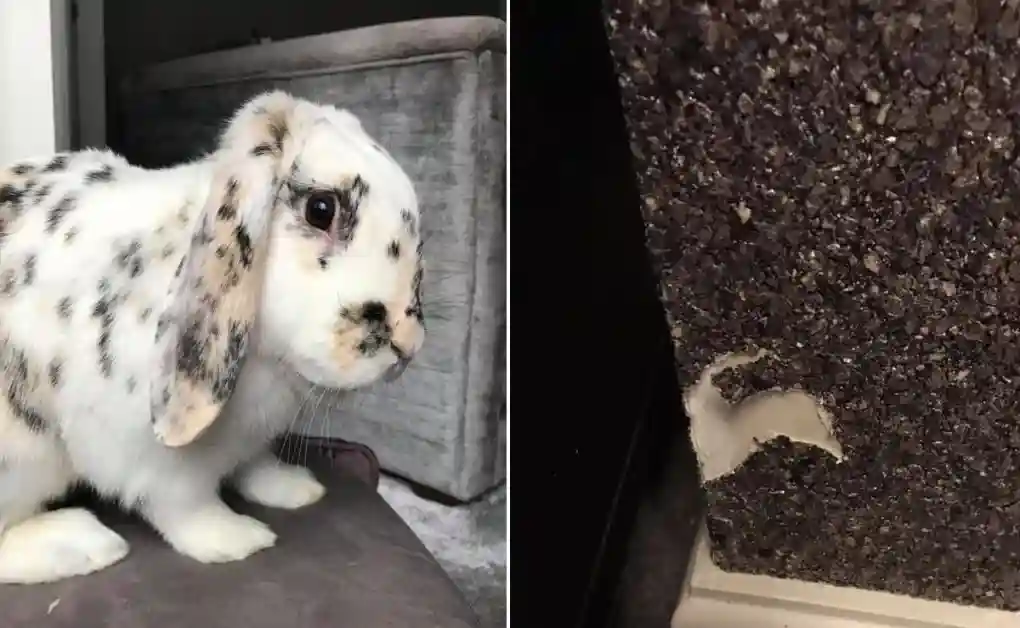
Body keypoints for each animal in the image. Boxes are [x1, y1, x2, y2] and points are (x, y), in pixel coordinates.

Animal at [0, 90, 425, 583]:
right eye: (321, 209)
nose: (408, 344)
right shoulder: (151, 460)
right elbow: (185, 505)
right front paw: (238, 538)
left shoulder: (252, 441)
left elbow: (255, 466)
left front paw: (295, 488)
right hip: (26, 457)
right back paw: (87, 542)